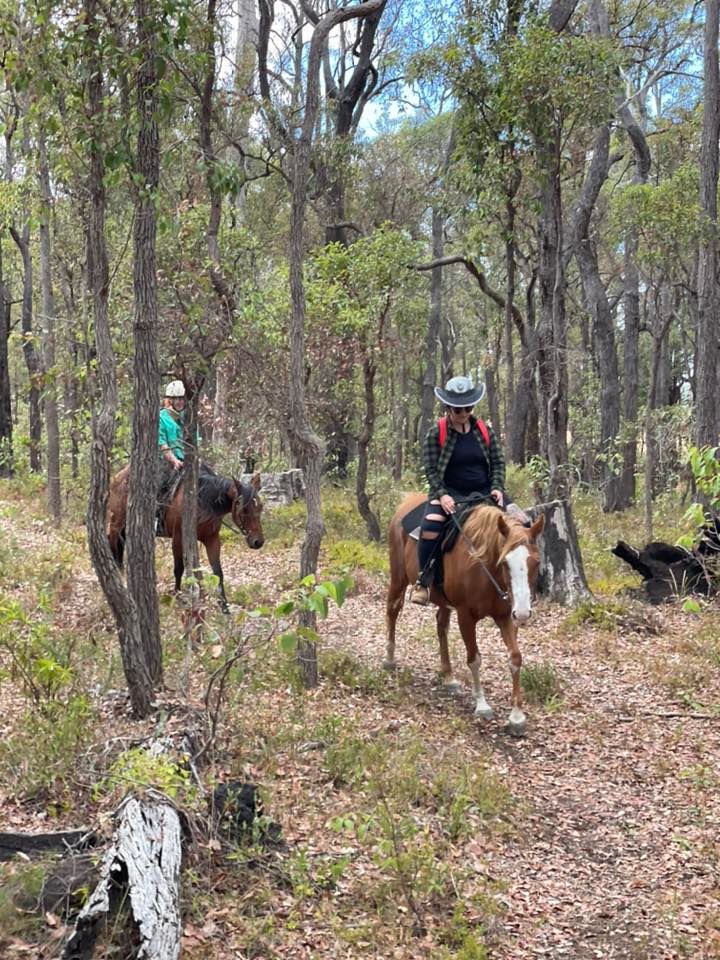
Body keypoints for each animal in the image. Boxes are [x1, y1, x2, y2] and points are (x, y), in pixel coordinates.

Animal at [107, 464, 265, 612]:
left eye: (261, 506)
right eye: (244, 508)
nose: (258, 542)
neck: (203, 500)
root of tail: (116, 477)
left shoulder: (212, 540)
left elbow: (217, 572)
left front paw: (224, 606)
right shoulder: (178, 538)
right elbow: (179, 568)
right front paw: (177, 596)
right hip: (117, 523)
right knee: (113, 544)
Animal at [385, 495, 545, 736]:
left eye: (536, 562)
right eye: (504, 563)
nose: (524, 613)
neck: (485, 567)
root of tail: (407, 501)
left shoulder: (505, 617)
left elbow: (515, 657)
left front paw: (516, 716)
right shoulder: (465, 616)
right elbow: (474, 658)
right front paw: (482, 705)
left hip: (443, 600)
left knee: (441, 625)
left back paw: (448, 676)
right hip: (398, 577)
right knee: (393, 609)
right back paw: (389, 658)